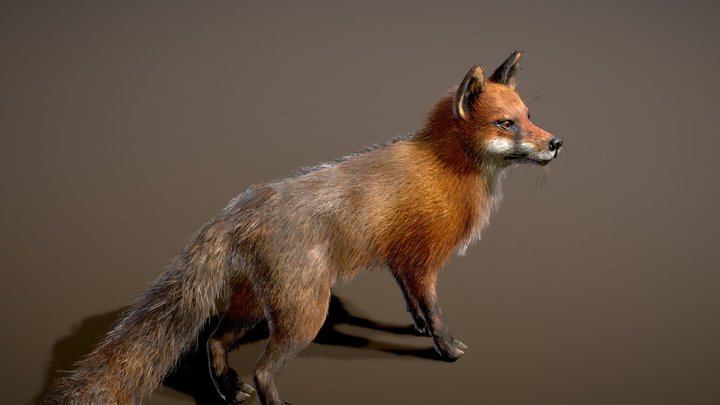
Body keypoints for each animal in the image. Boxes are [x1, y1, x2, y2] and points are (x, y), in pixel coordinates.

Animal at [44, 51, 562, 405]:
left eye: (530, 116)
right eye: (506, 123)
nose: (557, 143)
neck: (445, 170)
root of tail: (240, 207)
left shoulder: (402, 264)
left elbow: (415, 306)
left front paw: (417, 329)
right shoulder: (422, 263)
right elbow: (435, 313)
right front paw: (446, 348)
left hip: (254, 306)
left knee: (213, 340)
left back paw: (227, 389)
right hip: (305, 313)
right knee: (262, 371)